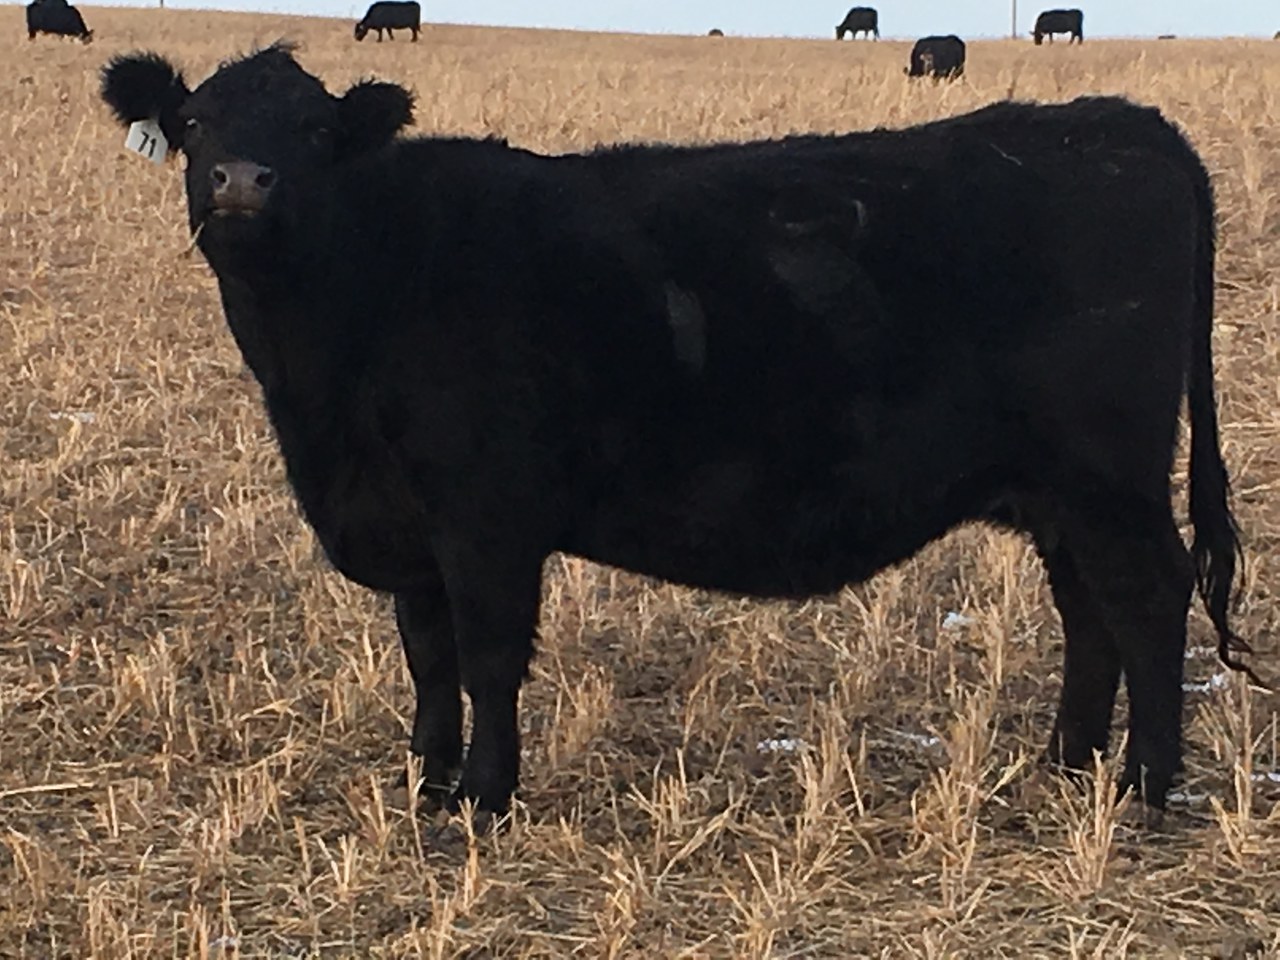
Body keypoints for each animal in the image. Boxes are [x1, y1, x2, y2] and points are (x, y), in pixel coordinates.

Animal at [100, 43, 1256, 818]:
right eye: (195, 125)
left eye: (311, 133)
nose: (242, 185)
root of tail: (1120, 124)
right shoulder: (406, 526)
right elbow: (427, 660)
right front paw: (427, 783)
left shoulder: (484, 520)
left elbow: (485, 657)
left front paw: (483, 798)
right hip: (1058, 490)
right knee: (1089, 610)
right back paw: (1067, 763)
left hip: (1108, 478)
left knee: (1147, 600)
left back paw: (1144, 787)